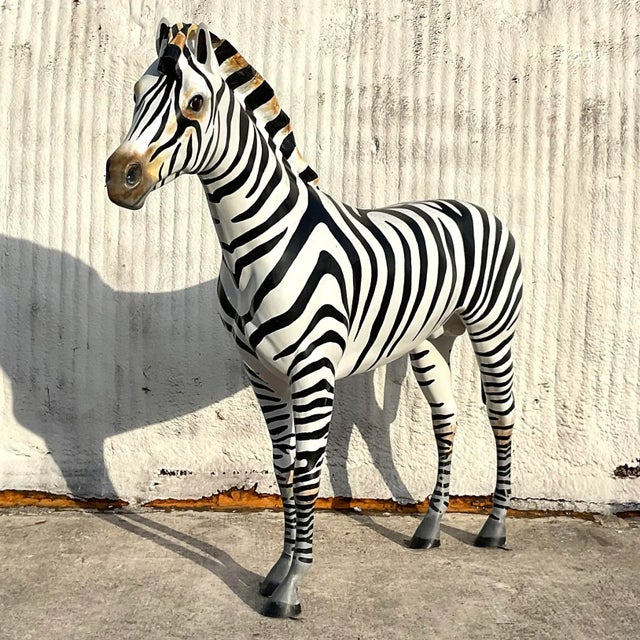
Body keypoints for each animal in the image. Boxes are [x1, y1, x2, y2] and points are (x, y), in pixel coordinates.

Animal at [106, 21, 523, 619]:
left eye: (195, 103)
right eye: (137, 93)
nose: (120, 177)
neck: (258, 243)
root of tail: (473, 205)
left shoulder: (312, 372)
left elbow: (306, 473)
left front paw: (292, 585)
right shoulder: (261, 372)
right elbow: (283, 467)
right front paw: (277, 569)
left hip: (494, 330)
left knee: (502, 419)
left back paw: (493, 527)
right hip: (428, 343)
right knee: (446, 423)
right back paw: (429, 527)